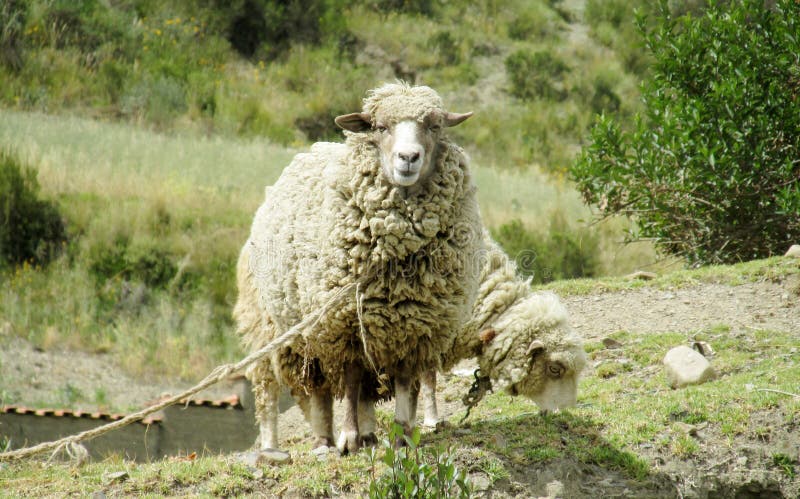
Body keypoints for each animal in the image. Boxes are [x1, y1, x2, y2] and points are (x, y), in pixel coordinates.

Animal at [233, 82, 483, 454]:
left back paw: (368, 435)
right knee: (301, 390)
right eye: (380, 127)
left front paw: (402, 434)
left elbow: (404, 381)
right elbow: (350, 380)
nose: (408, 158)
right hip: (280, 328)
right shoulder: (342, 322)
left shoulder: (414, 324)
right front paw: (348, 438)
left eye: (434, 126)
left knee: (361, 386)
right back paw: (315, 441)